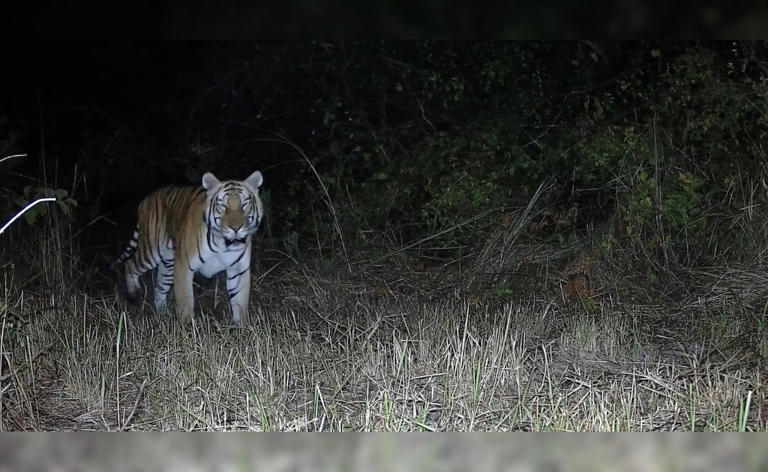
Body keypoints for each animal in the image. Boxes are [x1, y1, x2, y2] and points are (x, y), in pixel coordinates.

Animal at [110, 171, 264, 325]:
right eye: (223, 206)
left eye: (245, 204)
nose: (236, 228)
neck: (223, 243)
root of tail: (146, 199)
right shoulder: (183, 266)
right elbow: (185, 299)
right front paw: (188, 326)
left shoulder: (239, 270)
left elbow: (240, 302)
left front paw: (241, 326)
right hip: (151, 251)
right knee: (130, 264)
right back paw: (133, 295)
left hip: (168, 263)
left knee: (159, 287)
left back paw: (163, 314)